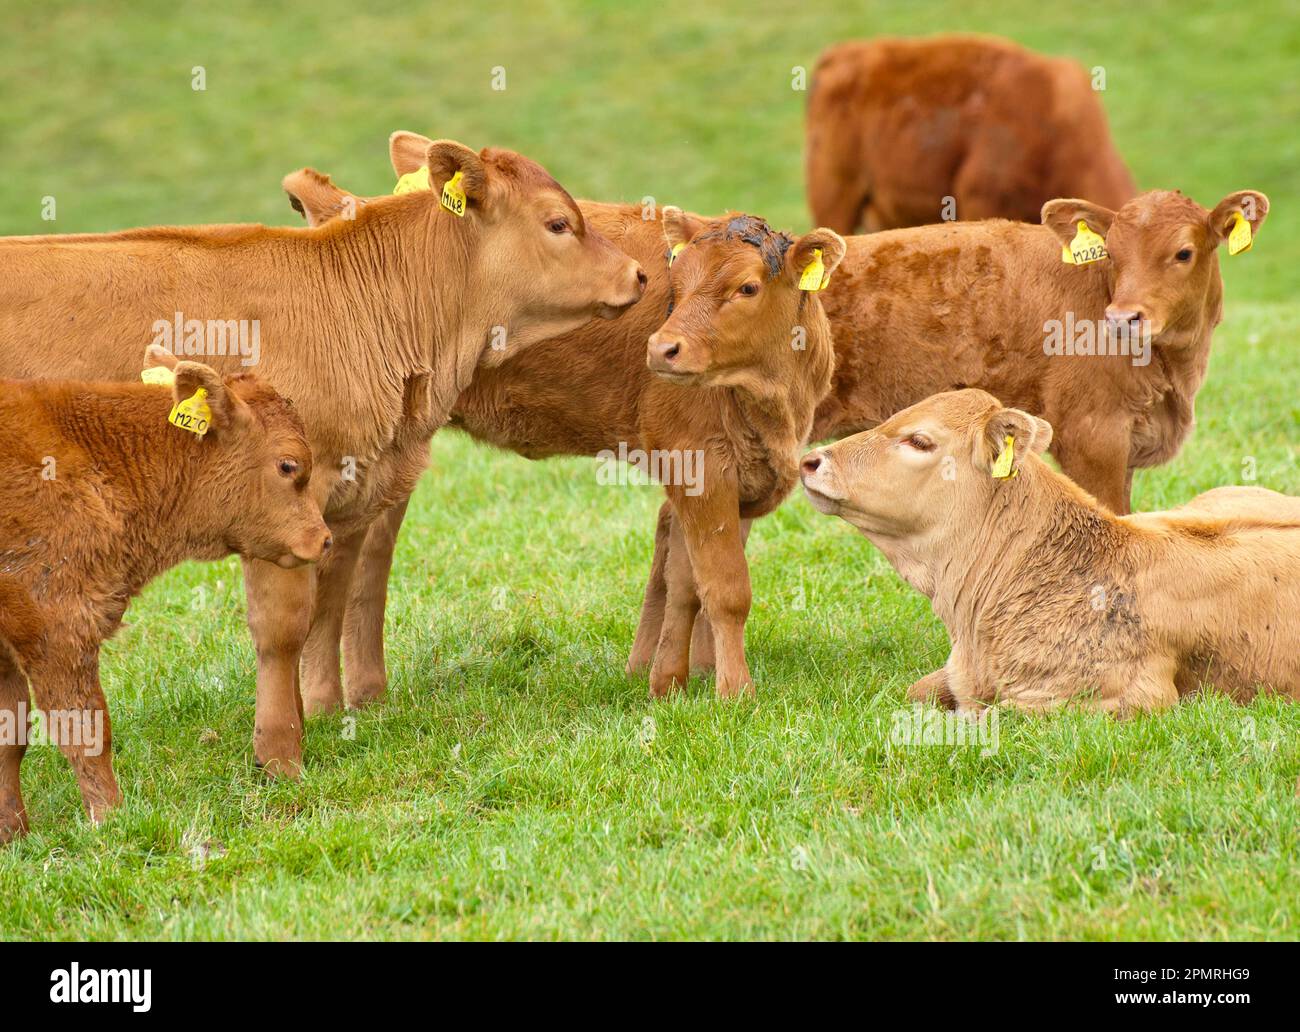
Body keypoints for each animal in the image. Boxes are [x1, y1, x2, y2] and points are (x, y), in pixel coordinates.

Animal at [0, 137, 646, 776]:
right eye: (558, 222)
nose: (638, 273)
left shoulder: (347, 497)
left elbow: (329, 603)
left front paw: (317, 717)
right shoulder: (277, 503)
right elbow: (283, 628)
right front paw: (280, 753)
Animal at [0, 348, 332, 842]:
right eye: (289, 465)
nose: (325, 539)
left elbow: (9, 735)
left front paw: (11, 833)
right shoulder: (57, 624)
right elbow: (85, 728)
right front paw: (111, 819)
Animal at [281, 146, 1264, 697]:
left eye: (1186, 250)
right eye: (1119, 255)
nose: (1130, 316)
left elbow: (687, 573)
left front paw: (674, 682)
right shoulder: (1095, 443)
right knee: (367, 557)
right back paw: (357, 691)